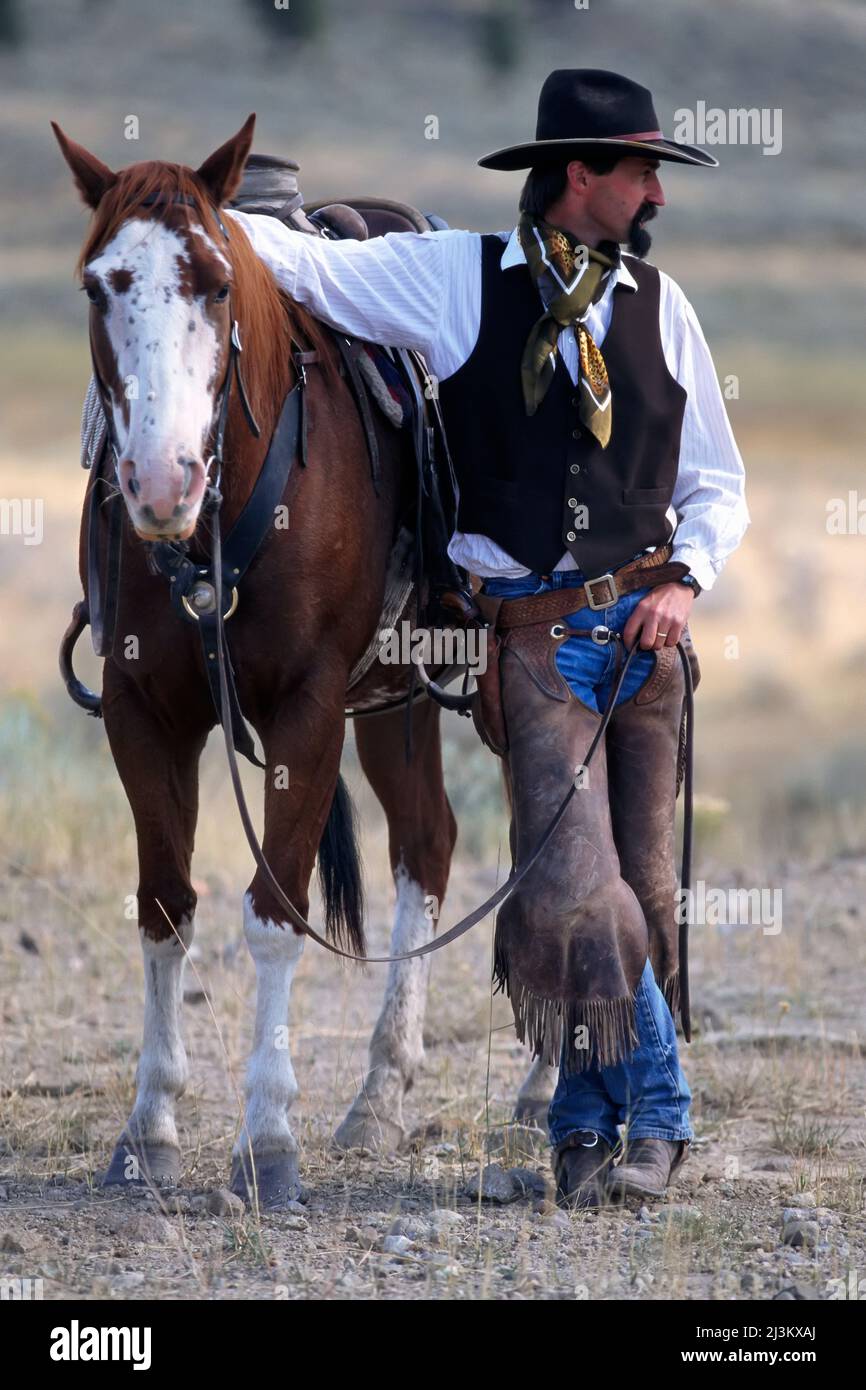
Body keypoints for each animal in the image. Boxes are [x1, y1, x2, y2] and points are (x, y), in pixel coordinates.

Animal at [53, 115, 556, 1206]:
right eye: (100, 284)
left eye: (213, 281)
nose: (159, 480)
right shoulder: (142, 710)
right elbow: (165, 908)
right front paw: (148, 1128)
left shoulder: (306, 709)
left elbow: (274, 910)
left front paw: (266, 1140)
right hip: (399, 707)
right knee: (428, 842)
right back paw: (379, 1096)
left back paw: (548, 1079)